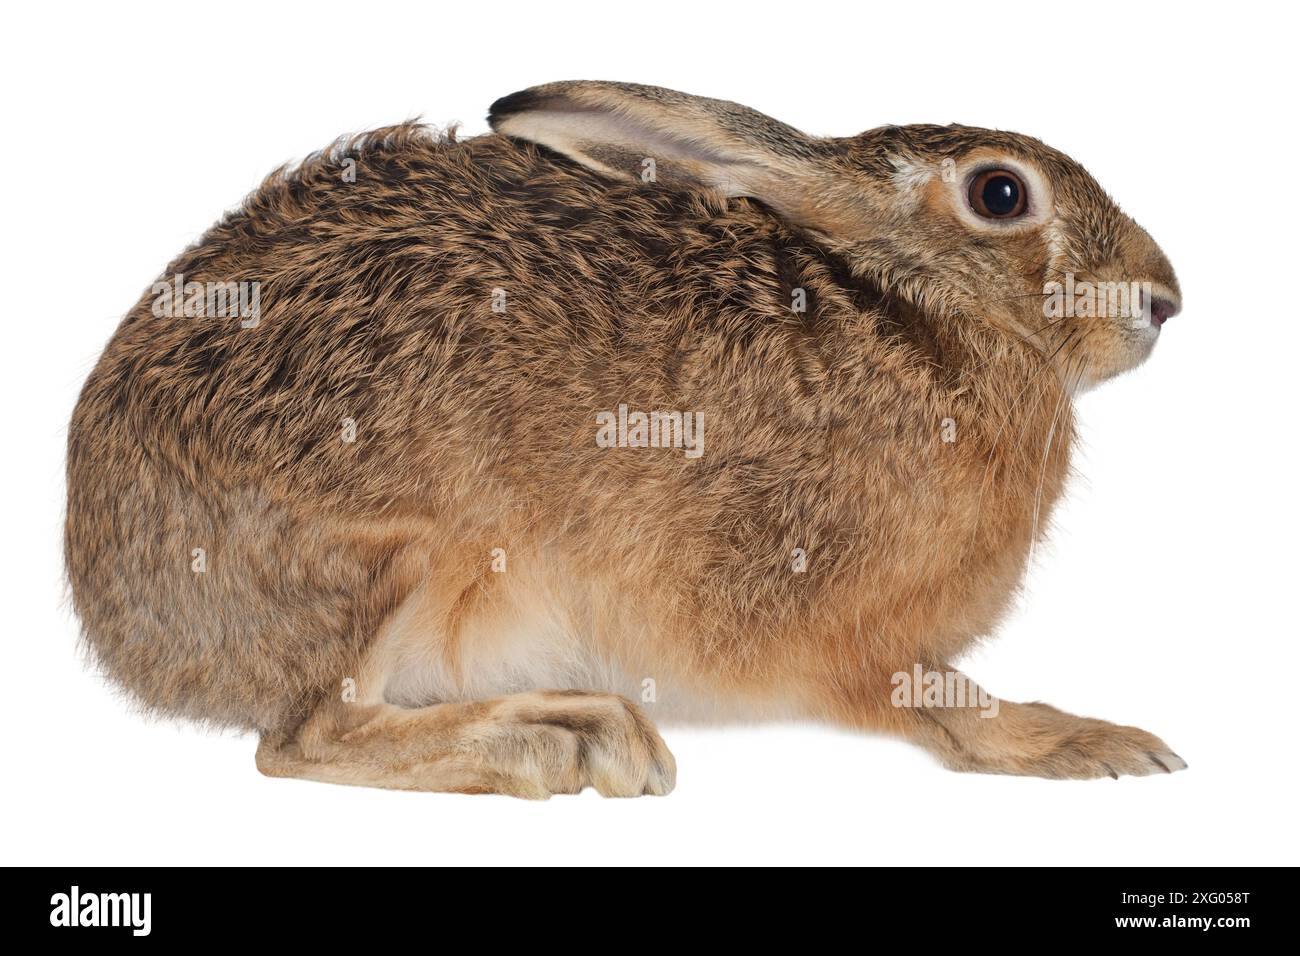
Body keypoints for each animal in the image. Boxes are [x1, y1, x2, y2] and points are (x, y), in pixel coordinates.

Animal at [65, 80, 1183, 797]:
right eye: (1001, 193)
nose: (1162, 300)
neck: (917, 313)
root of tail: (108, 597)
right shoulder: (846, 634)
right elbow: (949, 709)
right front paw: (1096, 744)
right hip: (400, 550)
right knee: (303, 738)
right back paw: (567, 740)